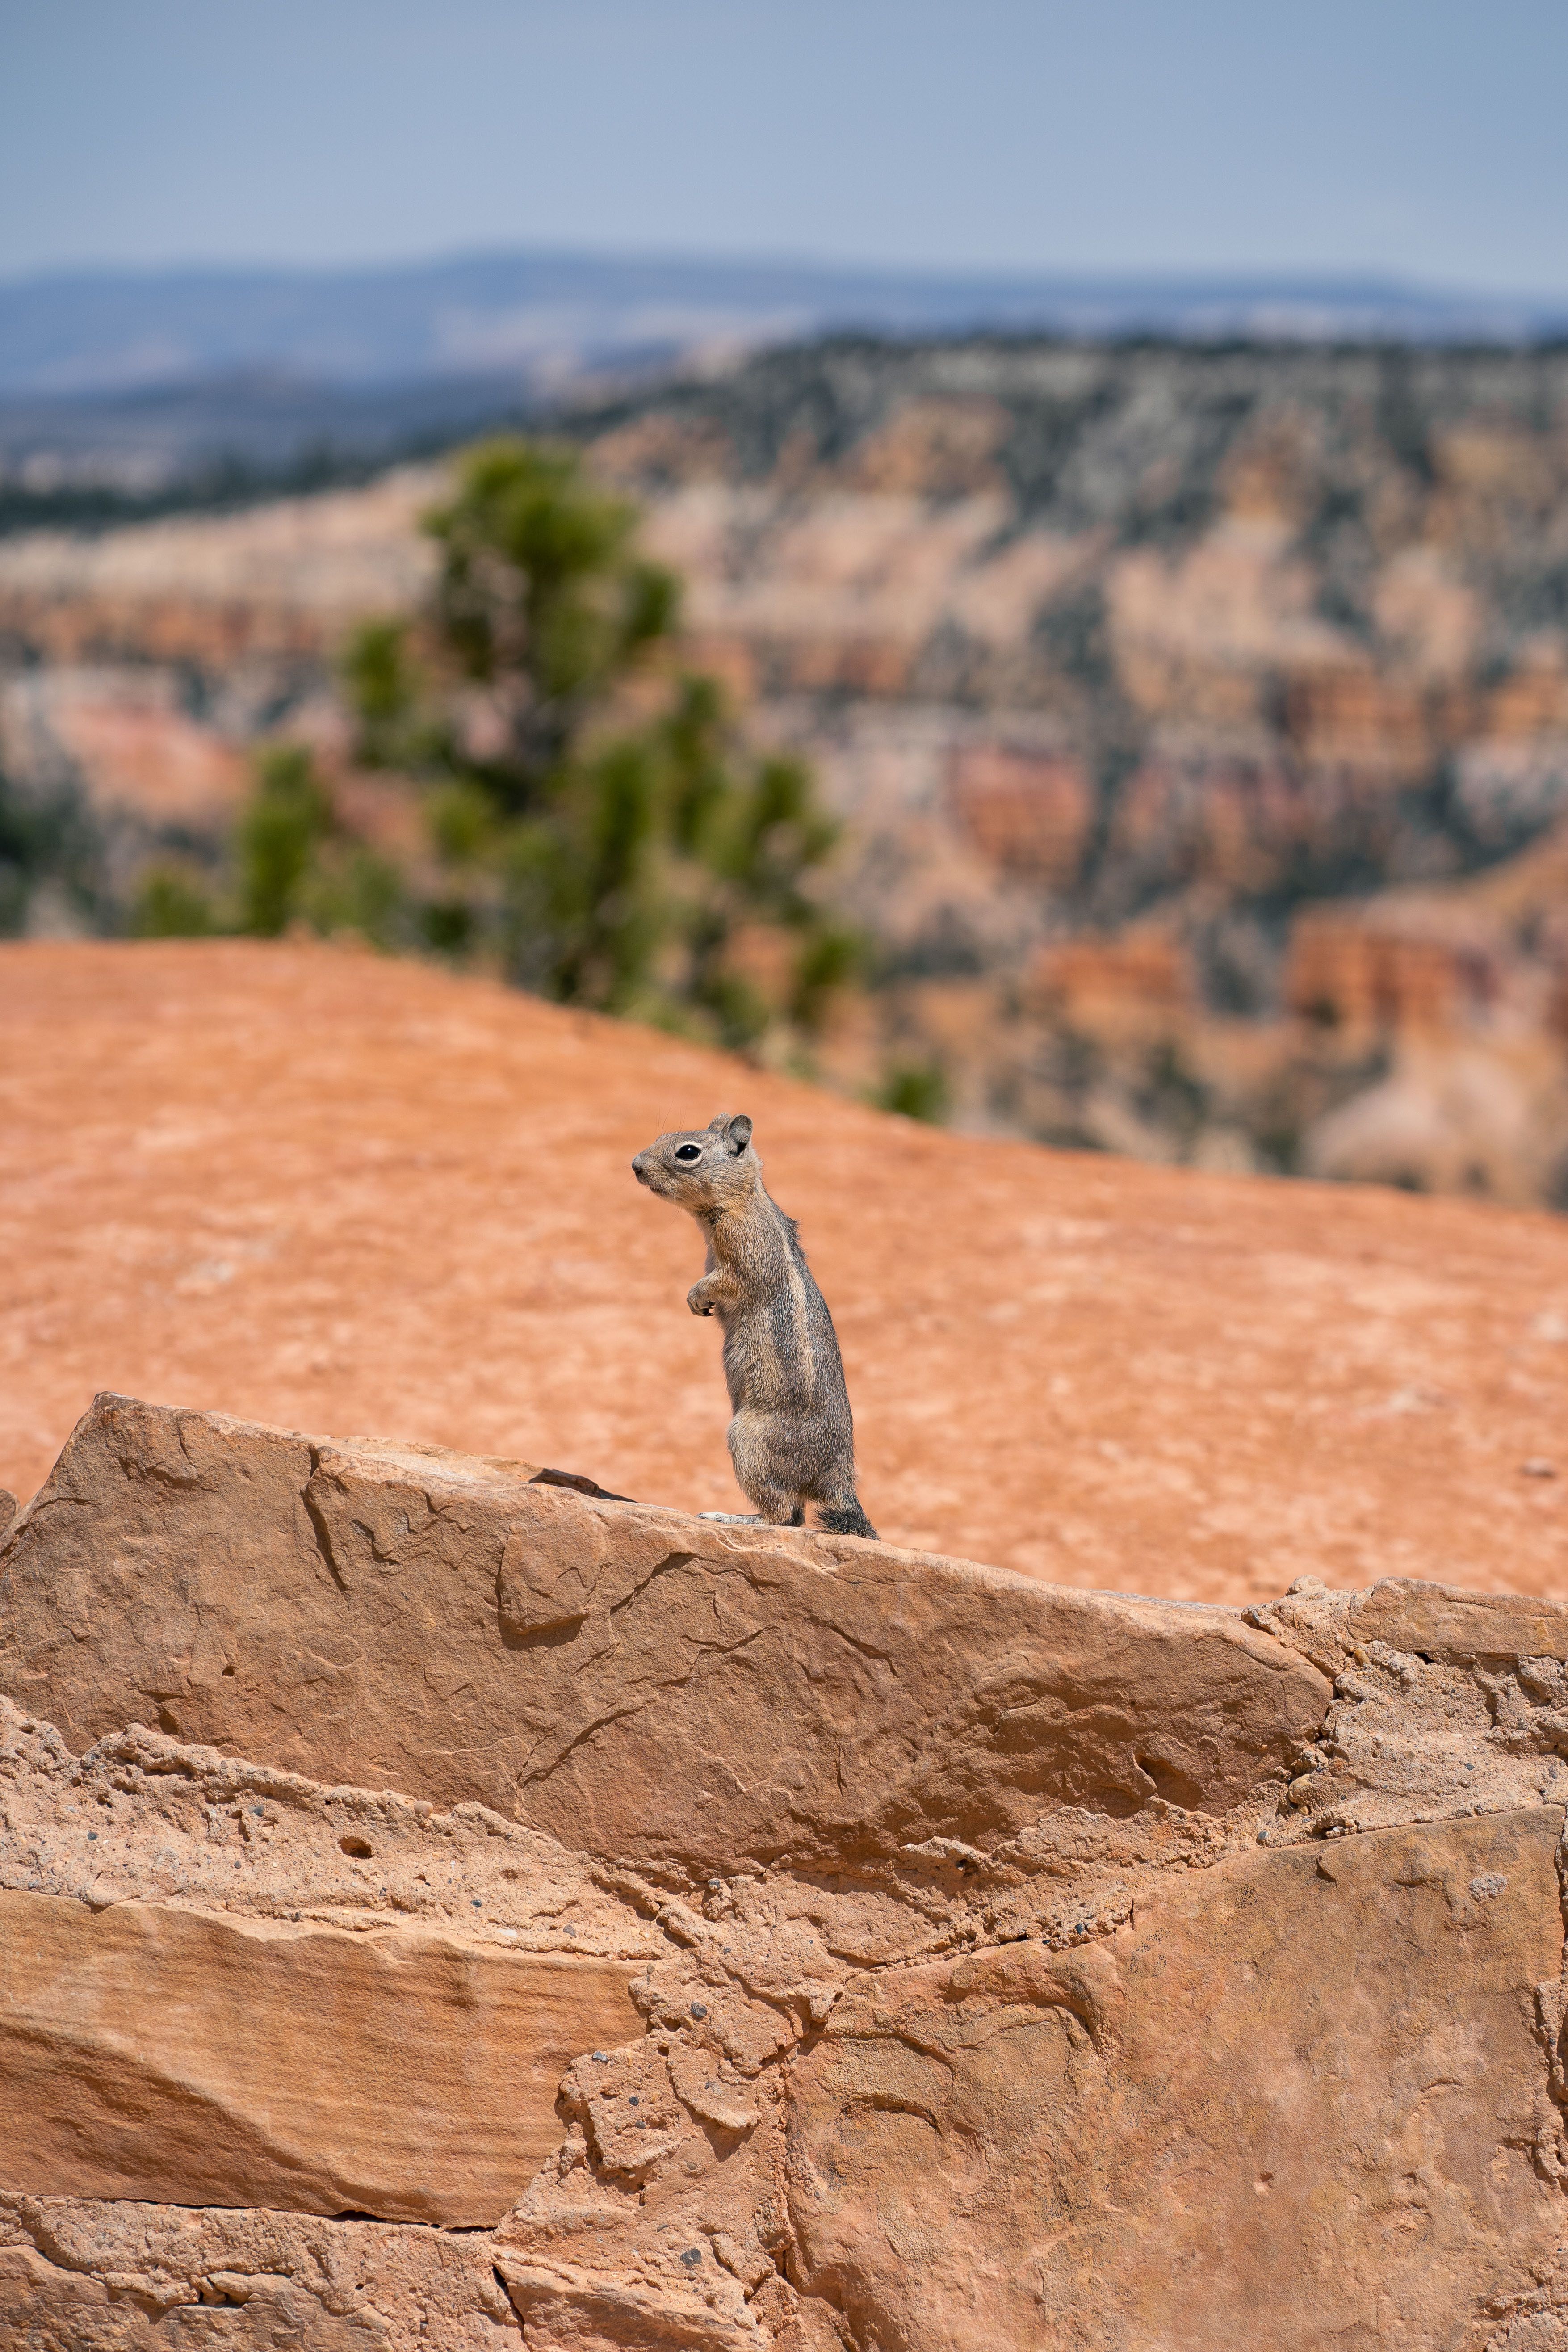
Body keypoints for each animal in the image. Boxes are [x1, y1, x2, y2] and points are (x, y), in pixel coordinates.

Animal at [632, 1114, 877, 1539]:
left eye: (688, 1152)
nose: (635, 1166)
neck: (743, 1199)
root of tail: (838, 1480)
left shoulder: (744, 1255)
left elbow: (724, 1282)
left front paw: (696, 1298)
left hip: (748, 1442)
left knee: (783, 1515)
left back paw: (729, 1516)